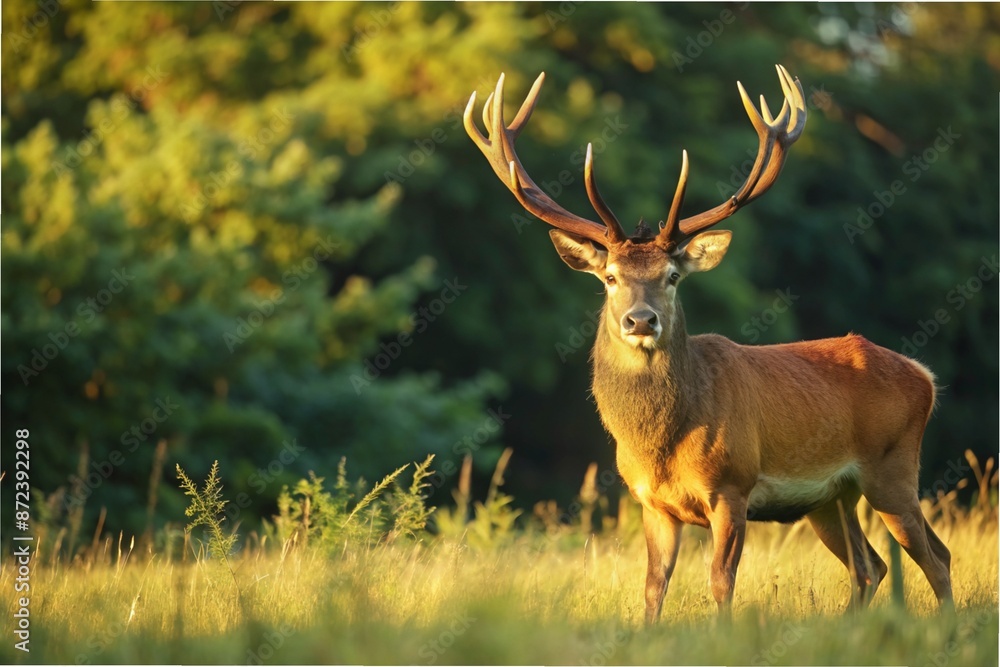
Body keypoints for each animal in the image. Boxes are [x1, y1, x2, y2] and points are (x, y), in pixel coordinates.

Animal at [464, 65, 953, 622]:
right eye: (610, 277)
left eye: (673, 276)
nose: (640, 320)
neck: (659, 444)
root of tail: (925, 375)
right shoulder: (651, 502)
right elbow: (654, 585)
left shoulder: (731, 486)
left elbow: (721, 580)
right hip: (832, 498)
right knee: (872, 566)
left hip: (893, 468)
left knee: (935, 559)